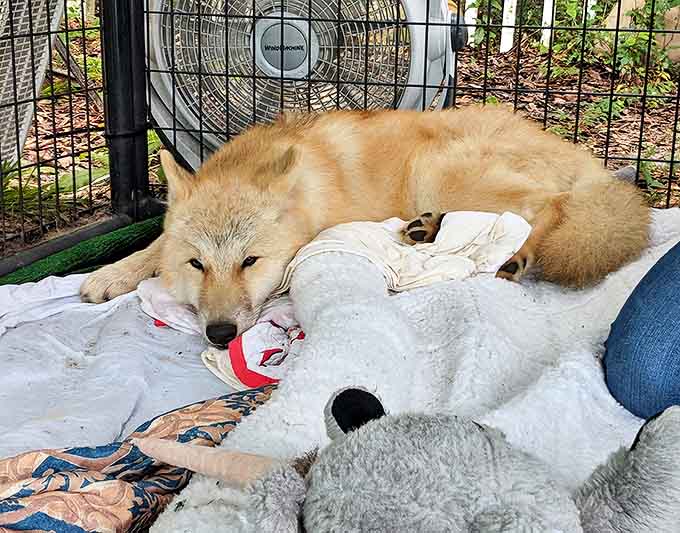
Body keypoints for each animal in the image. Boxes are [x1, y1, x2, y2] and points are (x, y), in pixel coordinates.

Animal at [80, 105, 650, 348]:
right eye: (197, 264)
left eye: (250, 262)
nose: (220, 335)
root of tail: (587, 161)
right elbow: (153, 246)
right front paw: (111, 274)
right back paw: (428, 228)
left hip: (436, 170)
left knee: (548, 207)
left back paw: (515, 255)